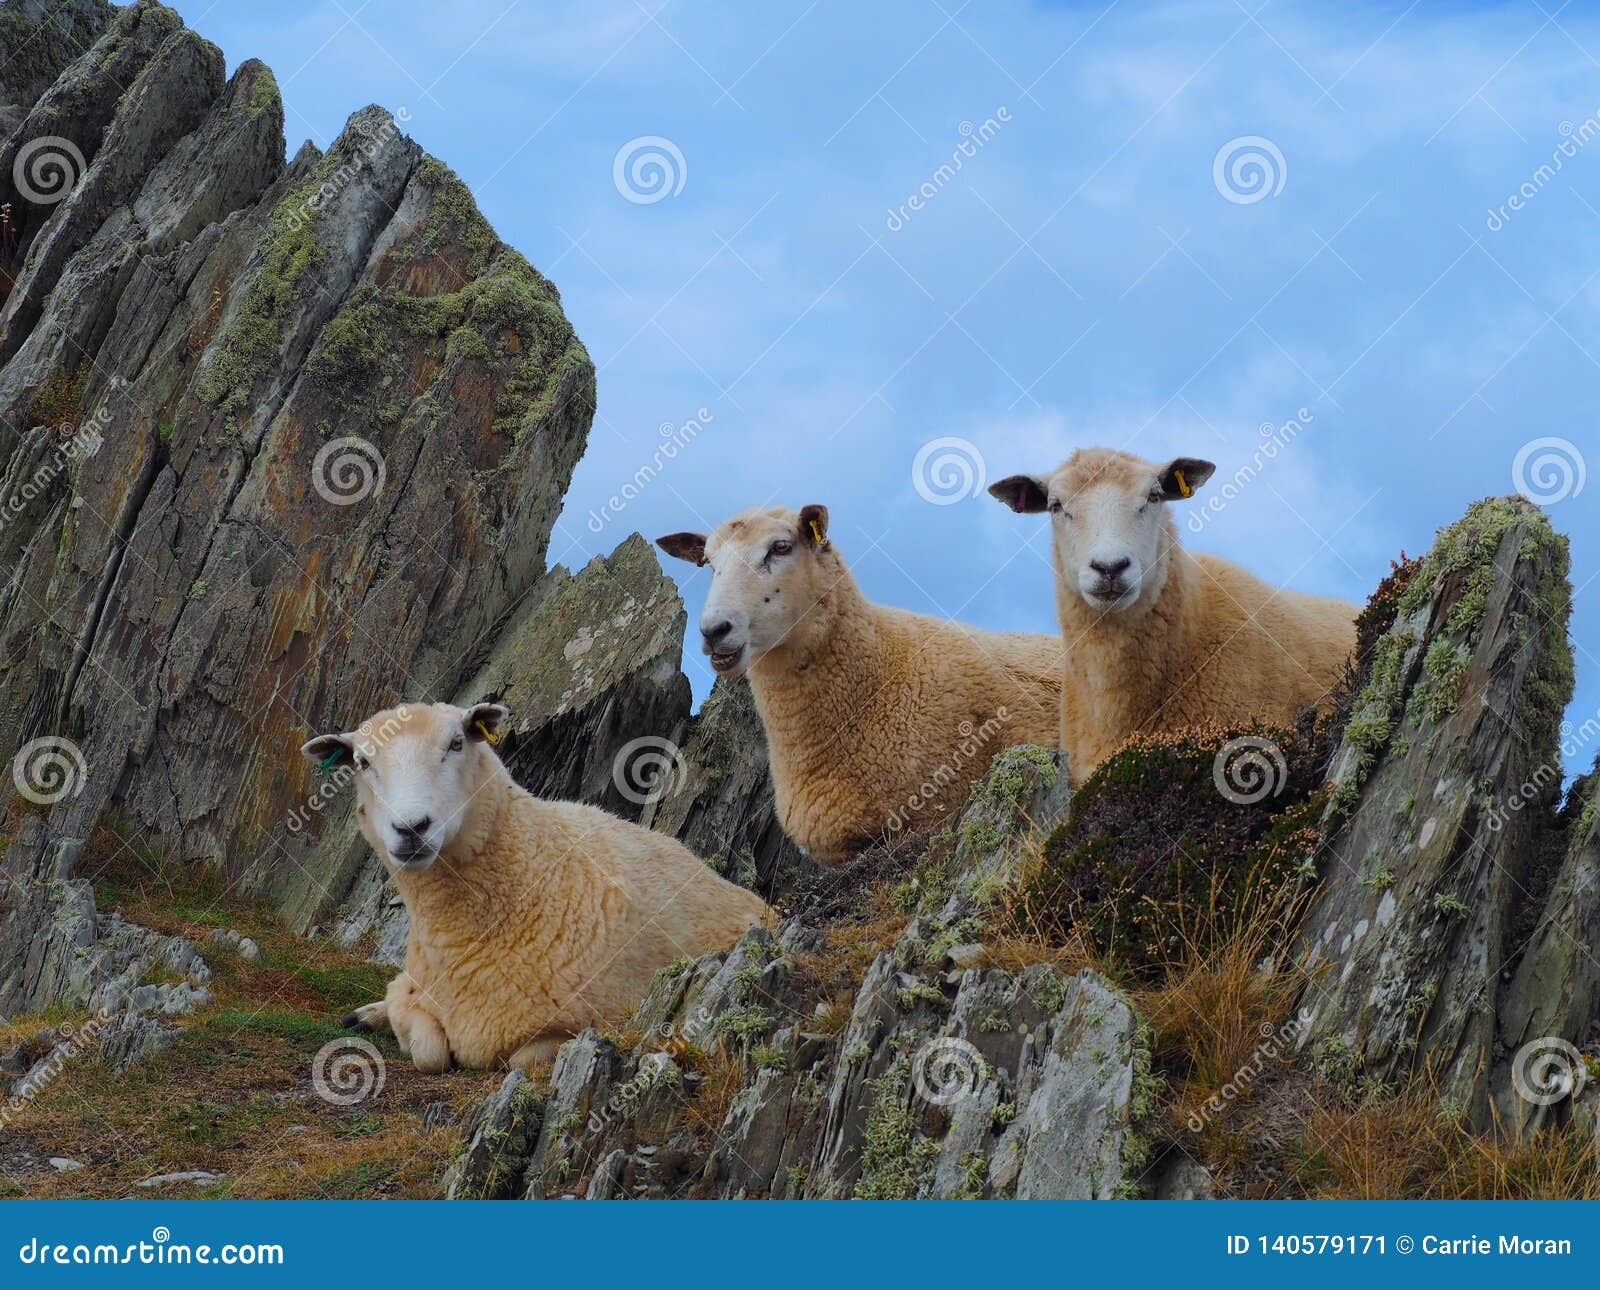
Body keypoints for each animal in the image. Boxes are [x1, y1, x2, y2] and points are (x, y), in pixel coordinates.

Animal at [300, 701, 772, 1072]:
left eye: (456, 743)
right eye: (362, 763)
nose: (411, 828)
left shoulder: (595, 1024)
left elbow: (506, 1059)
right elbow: (425, 1044)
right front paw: (385, 1012)